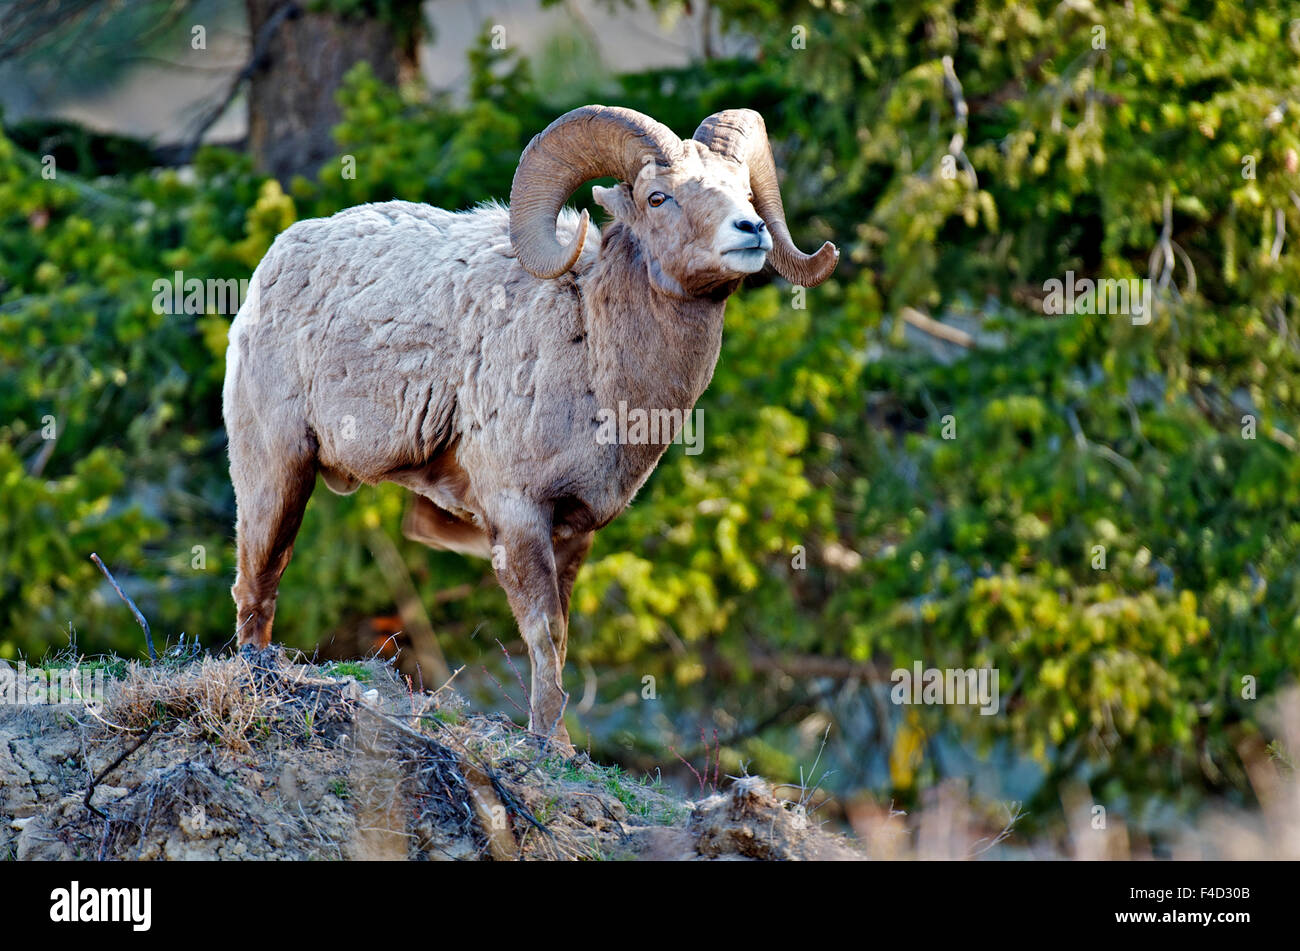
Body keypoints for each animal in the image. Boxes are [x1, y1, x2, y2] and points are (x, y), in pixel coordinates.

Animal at [223, 105, 838, 749]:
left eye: (744, 191)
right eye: (658, 196)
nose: (751, 230)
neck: (593, 353)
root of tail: (267, 272)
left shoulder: (576, 530)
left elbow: (561, 640)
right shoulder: (518, 514)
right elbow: (543, 635)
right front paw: (551, 744)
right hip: (279, 472)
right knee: (258, 580)